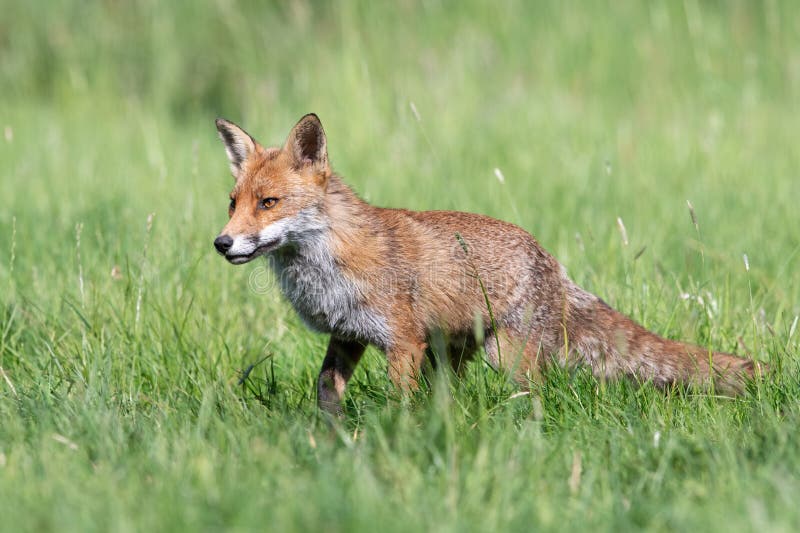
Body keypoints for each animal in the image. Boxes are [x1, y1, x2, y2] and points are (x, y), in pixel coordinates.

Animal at [213, 113, 766, 415]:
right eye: (233, 203)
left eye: (268, 203)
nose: (222, 242)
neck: (327, 263)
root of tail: (552, 261)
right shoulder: (348, 335)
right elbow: (326, 394)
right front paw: (328, 444)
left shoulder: (402, 341)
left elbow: (397, 405)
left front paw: (394, 441)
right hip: (450, 357)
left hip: (508, 358)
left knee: (537, 395)